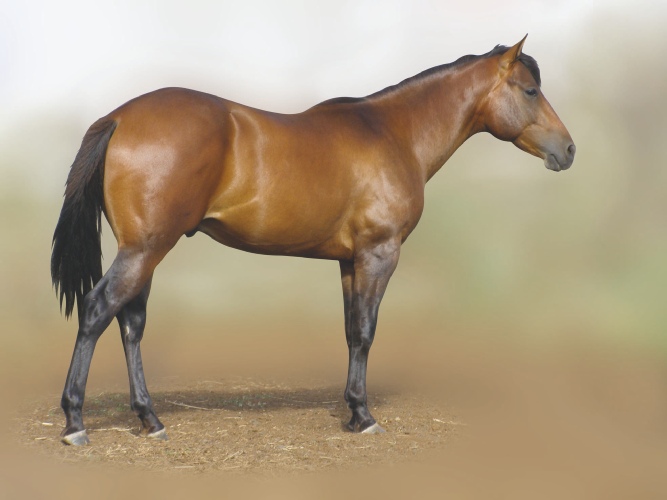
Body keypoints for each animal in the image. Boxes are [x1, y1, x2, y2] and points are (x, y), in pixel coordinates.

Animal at [52, 36, 575, 445]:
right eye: (530, 90)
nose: (568, 150)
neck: (393, 133)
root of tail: (119, 117)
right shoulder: (380, 254)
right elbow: (366, 331)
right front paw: (364, 416)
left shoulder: (349, 261)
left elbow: (350, 331)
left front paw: (352, 412)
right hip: (145, 249)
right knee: (98, 311)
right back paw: (75, 422)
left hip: (143, 249)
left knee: (131, 324)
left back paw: (150, 419)